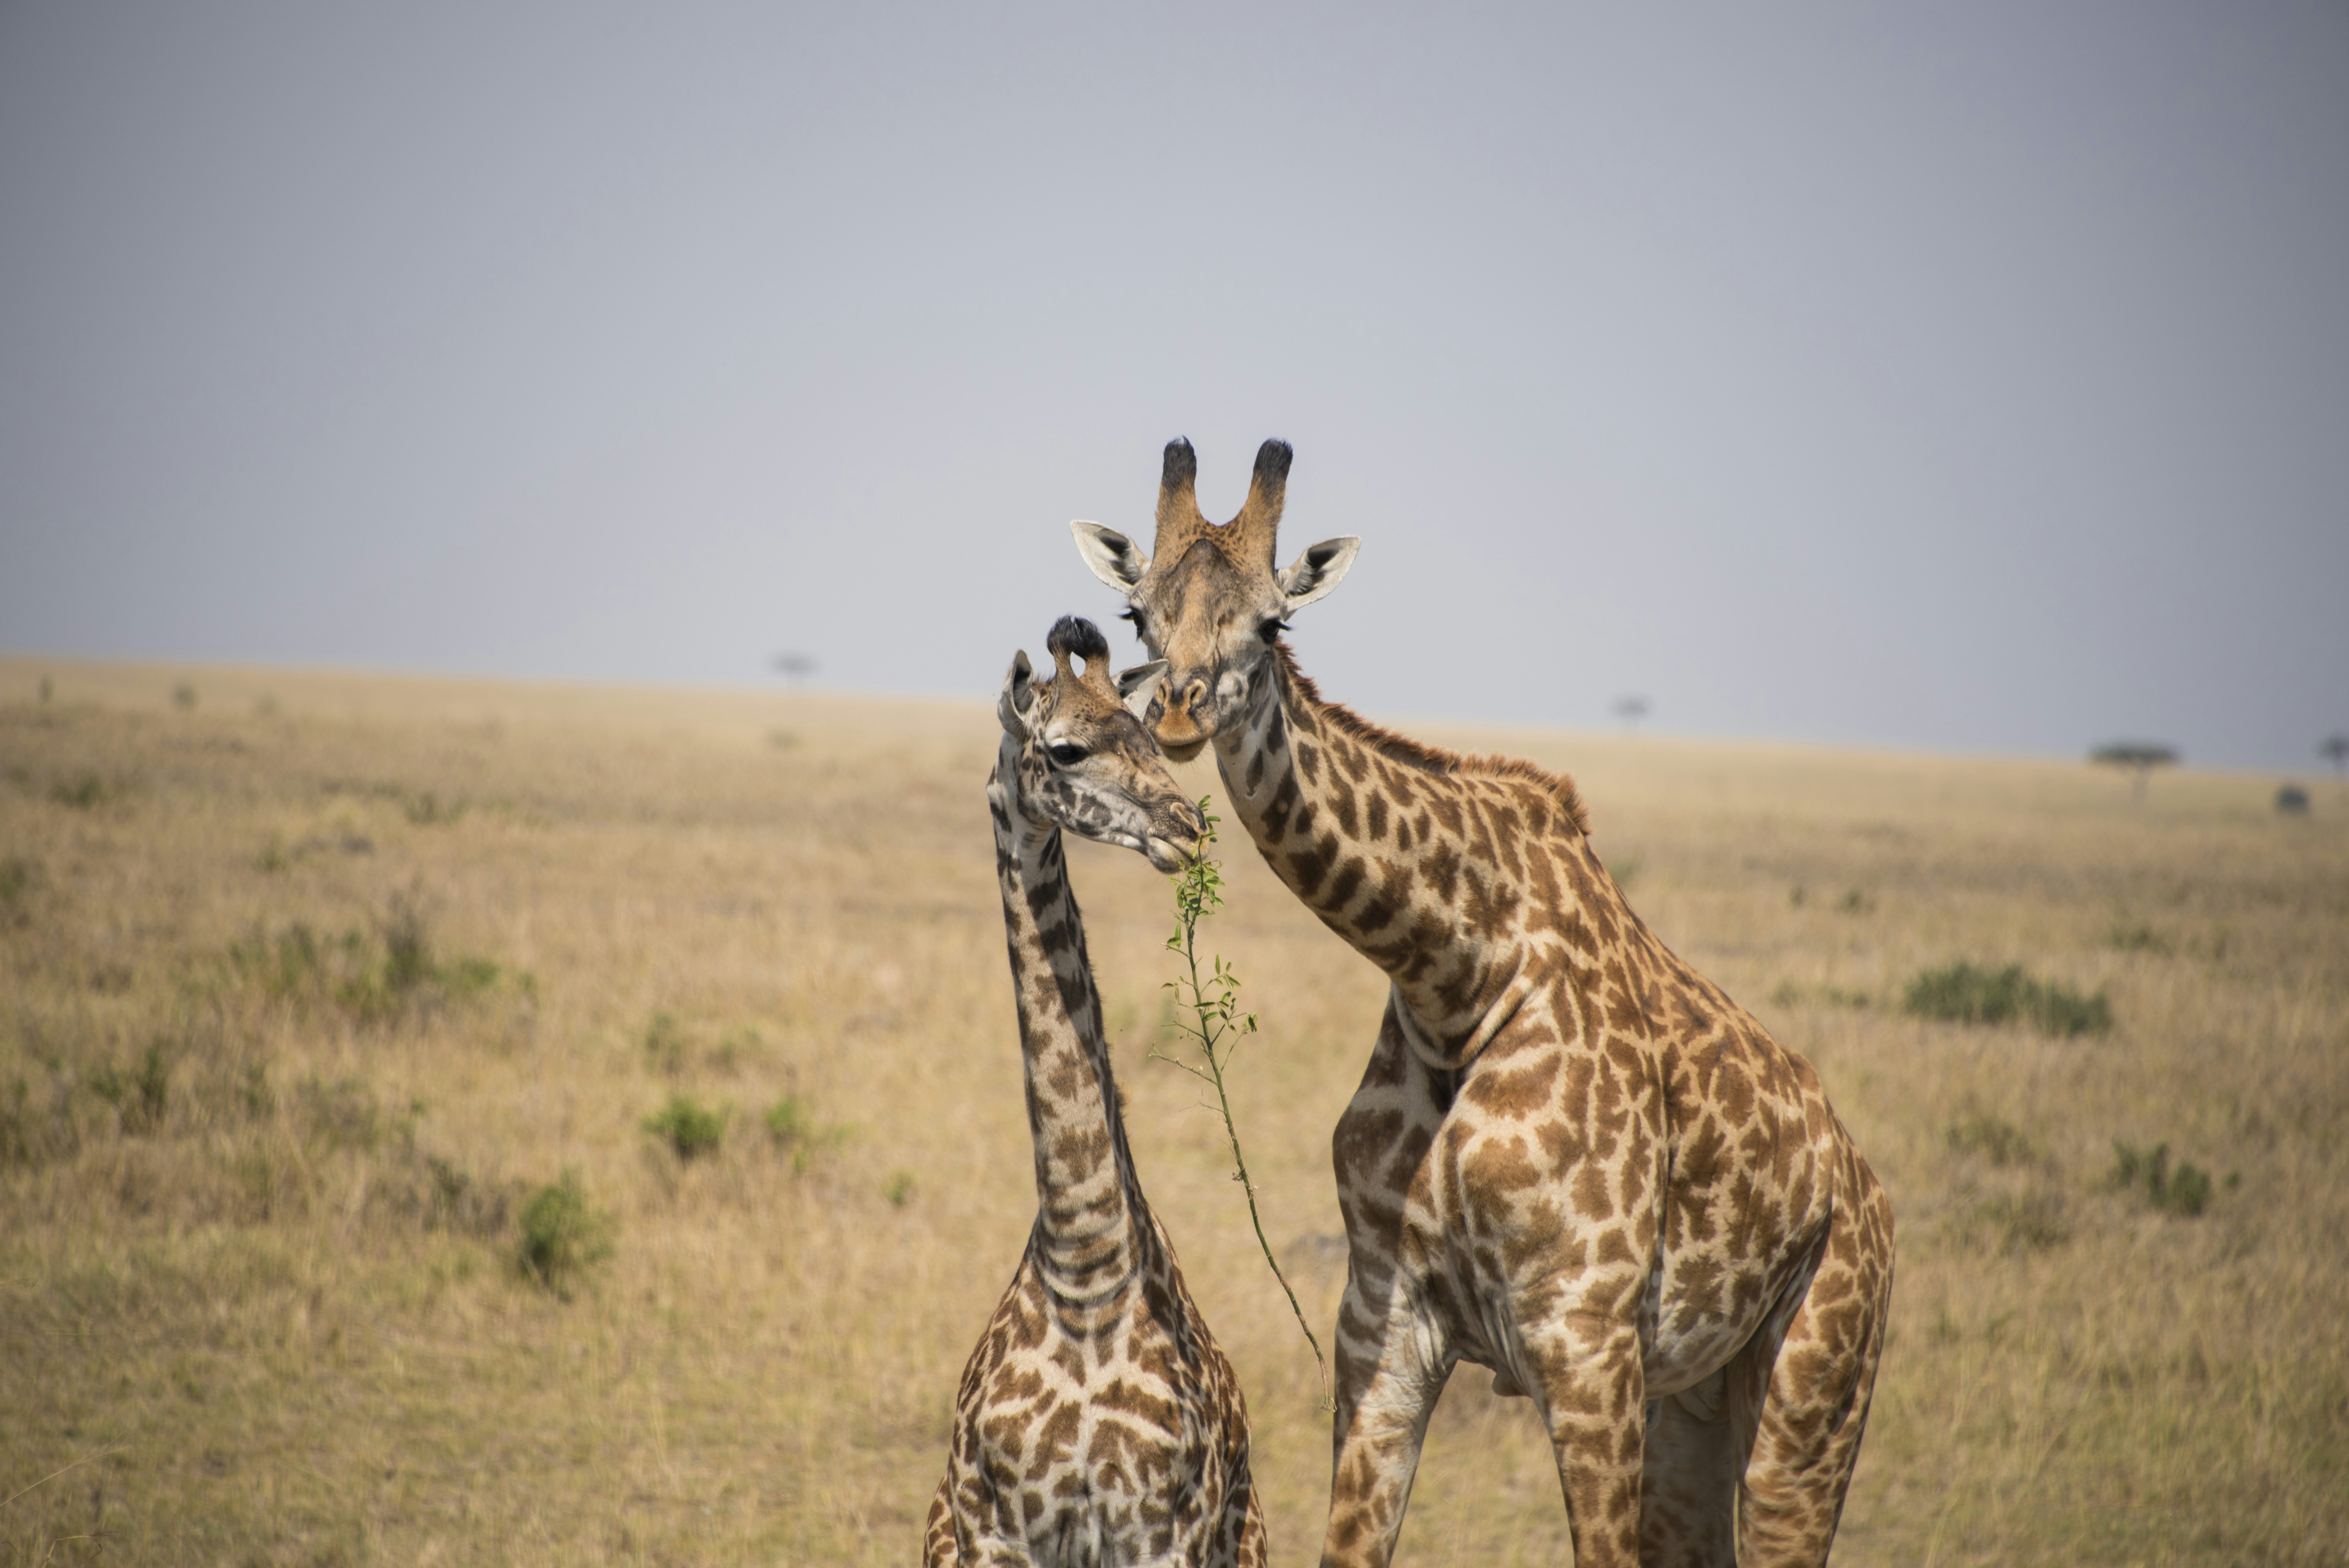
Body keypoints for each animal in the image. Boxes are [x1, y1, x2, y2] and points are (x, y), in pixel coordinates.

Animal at [925, 615, 1268, 1568]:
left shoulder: (1165, 1532)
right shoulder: (995, 1533)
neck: (1084, 1272)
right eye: (1067, 749)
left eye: (1148, 735)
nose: (1186, 827)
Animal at [1070, 441, 1895, 1567]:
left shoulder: (1586, 1341)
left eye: (1275, 623)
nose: (1181, 713)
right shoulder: (1381, 1327)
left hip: (1814, 1388)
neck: (1454, 975)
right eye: (1136, 617)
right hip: (1692, 1402)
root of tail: (1861, 1186)